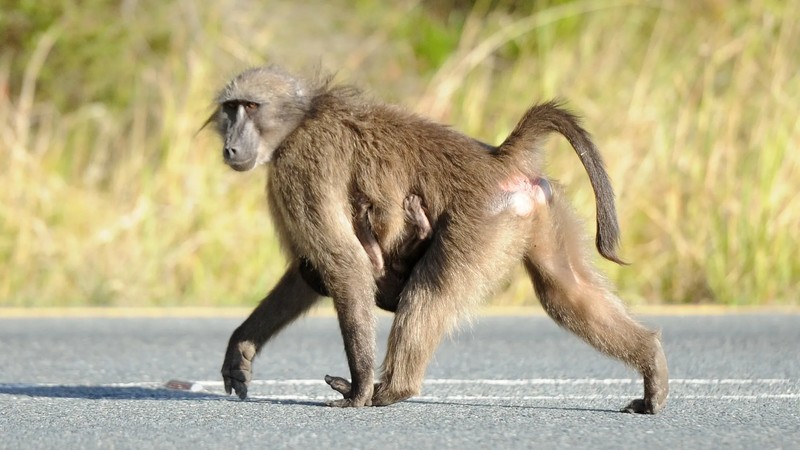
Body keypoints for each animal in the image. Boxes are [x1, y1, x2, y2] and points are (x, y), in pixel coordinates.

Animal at [210, 65, 668, 414]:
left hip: (480, 223)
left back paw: (389, 391)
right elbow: (307, 275)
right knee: (566, 294)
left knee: (427, 293)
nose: (230, 149)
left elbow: (342, 263)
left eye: (250, 107)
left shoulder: (300, 166)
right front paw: (241, 350)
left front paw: (359, 388)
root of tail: (499, 158)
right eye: (229, 109)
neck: (303, 118)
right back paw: (652, 369)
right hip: (538, 214)